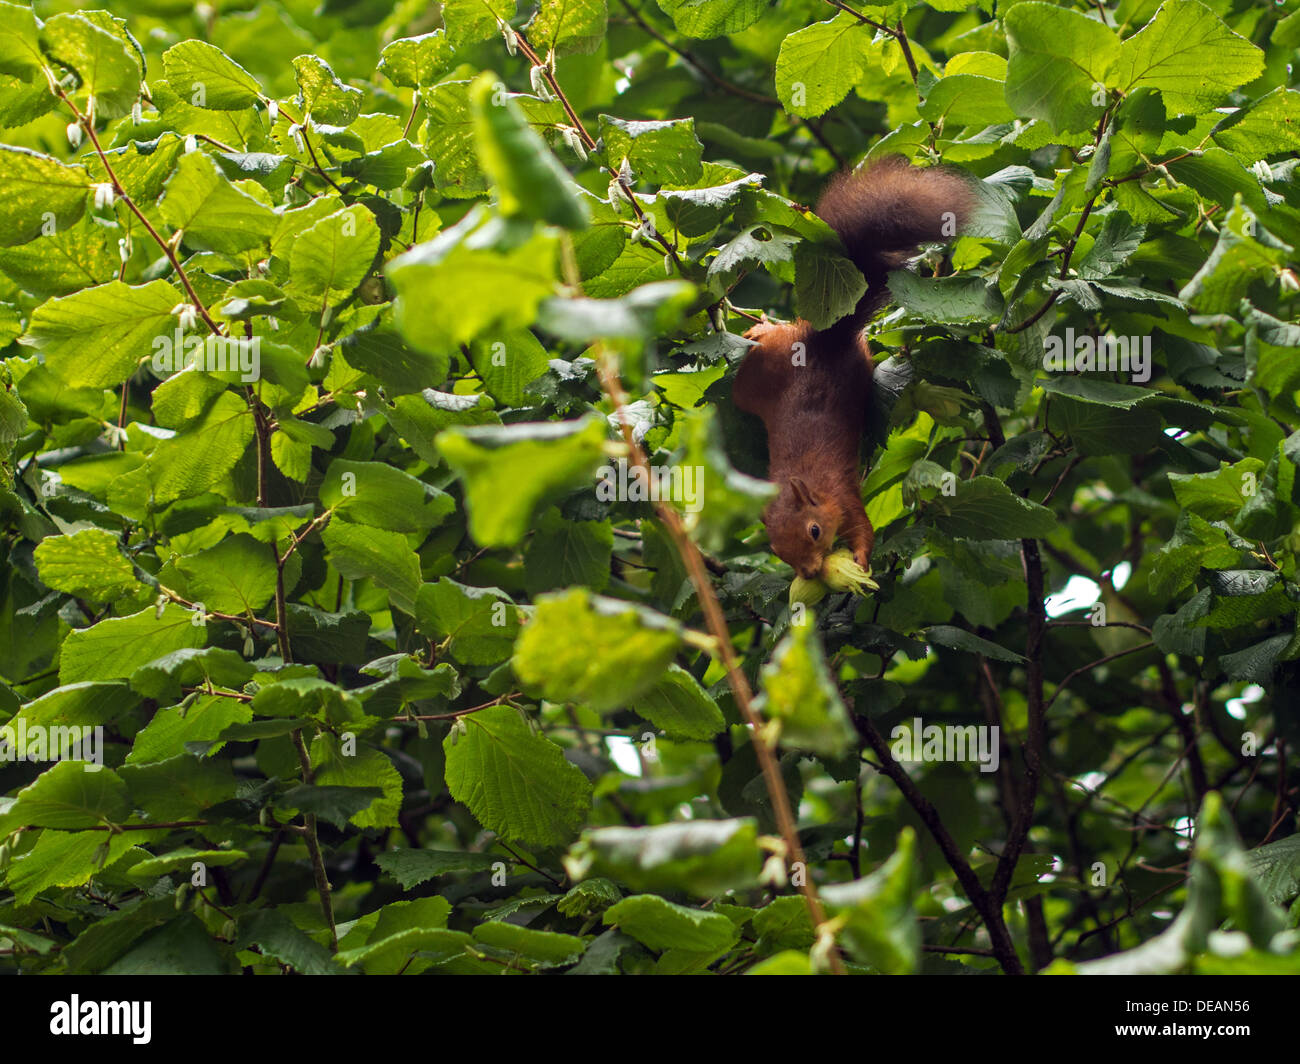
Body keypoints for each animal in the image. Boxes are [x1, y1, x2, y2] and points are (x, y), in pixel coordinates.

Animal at [733, 155, 973, 580]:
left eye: (814, 531)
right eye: (777, 551)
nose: (810, 573)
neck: (813, 486)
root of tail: (825, 344)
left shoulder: (845, 496)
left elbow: (863, 530)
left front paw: (860, 559)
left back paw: (759, 327)